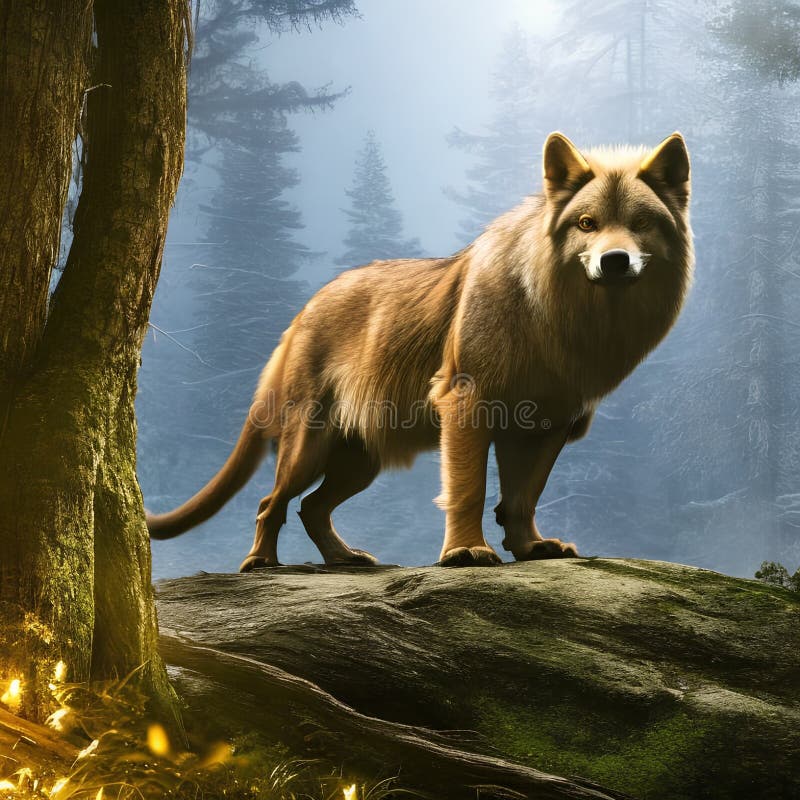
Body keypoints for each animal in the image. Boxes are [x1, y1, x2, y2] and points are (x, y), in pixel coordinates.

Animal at [147, 132, 694, 571]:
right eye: (586, 223)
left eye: (641, 224)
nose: (615, 260)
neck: (560, 317)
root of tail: (300, 314)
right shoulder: (469, 405)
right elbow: (468, 489)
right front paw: (466, 552)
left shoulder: (544, 425)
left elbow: (522, 498)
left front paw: (530, 548)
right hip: (309, 447)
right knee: (270, 502)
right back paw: (260, 562)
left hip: (360, 461)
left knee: (311, 508)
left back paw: (344, 559)